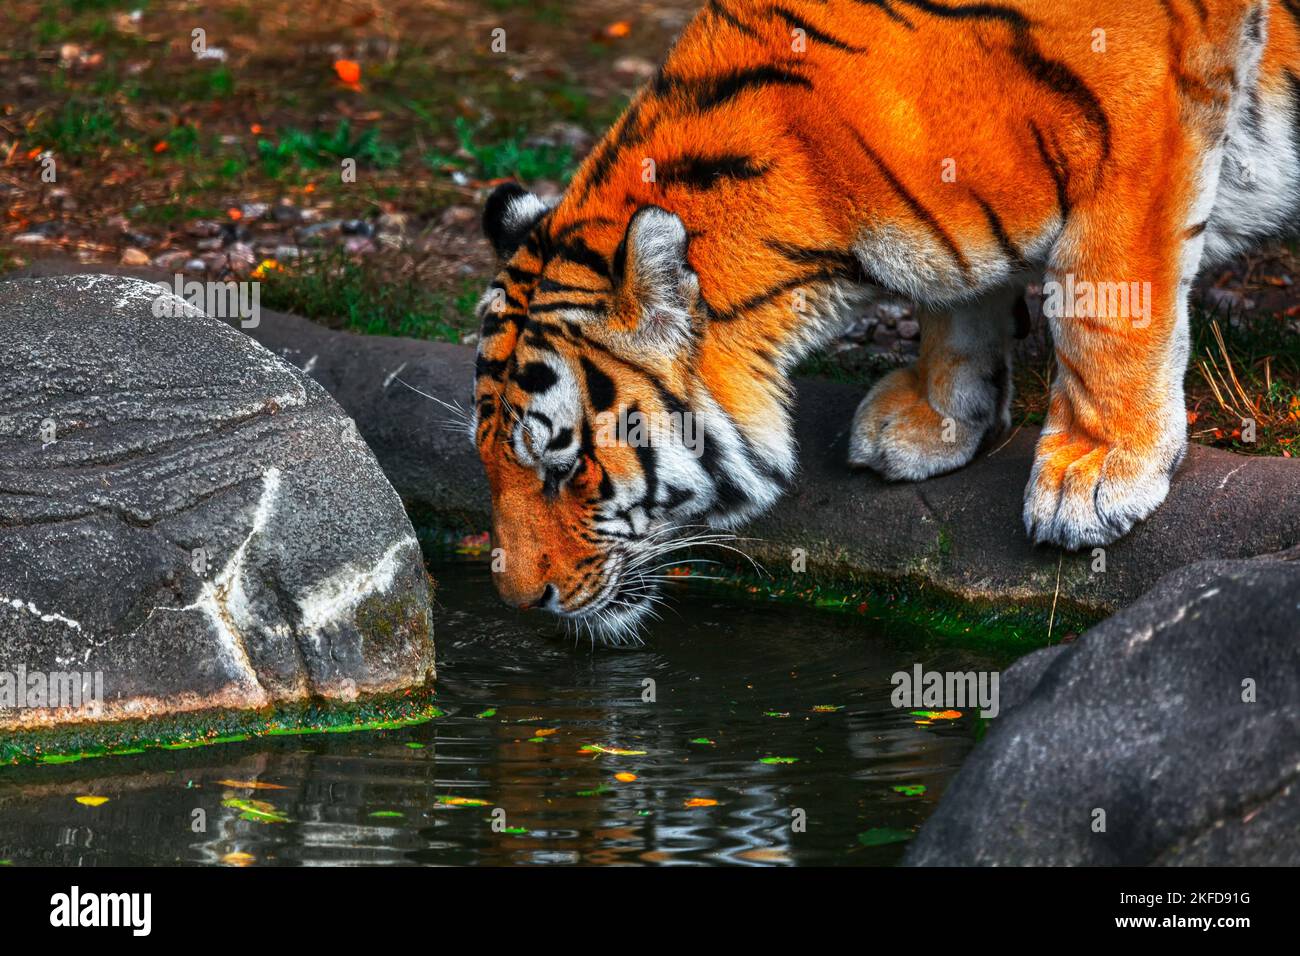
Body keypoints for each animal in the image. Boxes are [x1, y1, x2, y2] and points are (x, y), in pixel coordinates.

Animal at [470, 0, 1300, 640]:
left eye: (566, 468)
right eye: (490, 463)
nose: (517, 601)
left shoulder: (1142, 109)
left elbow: (1104, 299)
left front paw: (1095, 474)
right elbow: (957, 298)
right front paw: (937, 416)